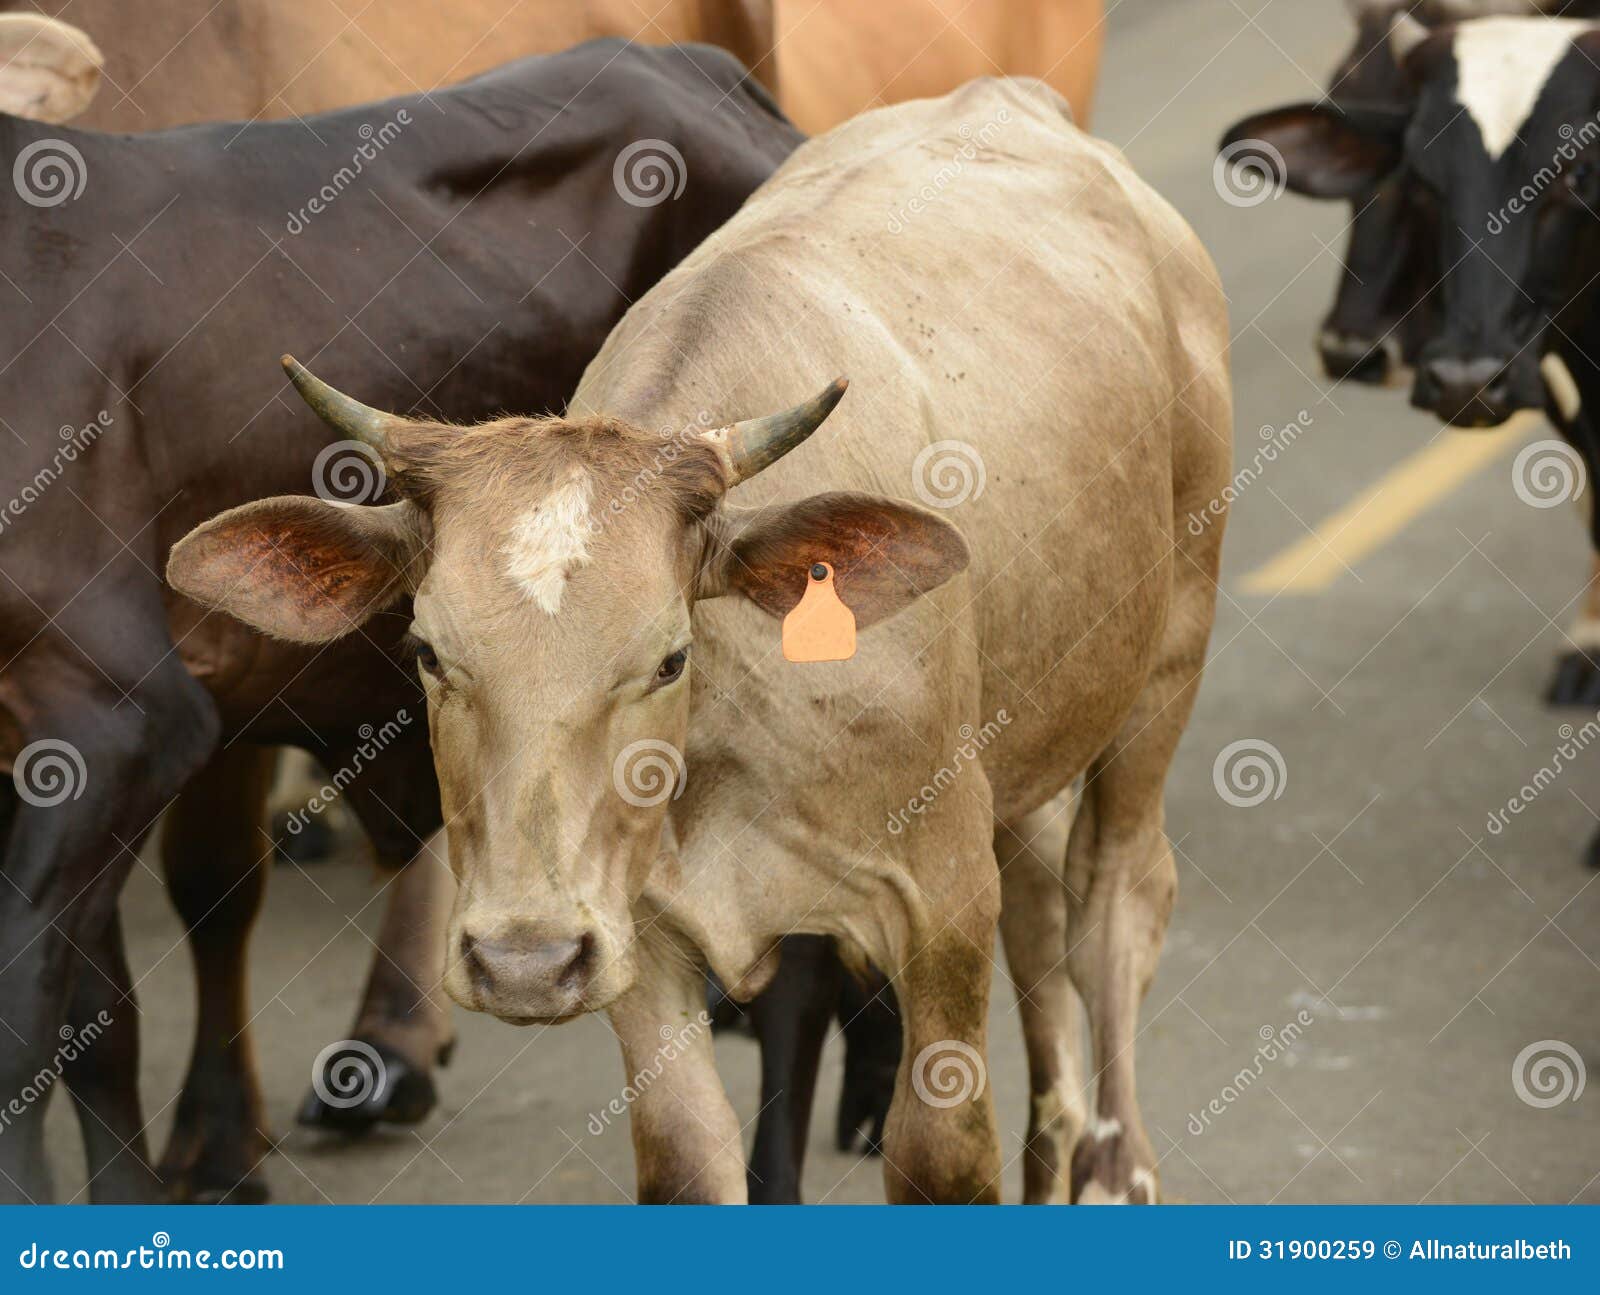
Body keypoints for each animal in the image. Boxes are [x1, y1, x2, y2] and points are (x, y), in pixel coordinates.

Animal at [171, 76, 1232, 1204]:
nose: (522, 961)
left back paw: (1113, 1161)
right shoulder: (632, 930)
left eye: (668, 656)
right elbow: (686, 1158)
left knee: (1113, 899)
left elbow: (940, 1157)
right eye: (426, 652)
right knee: (1041, 913)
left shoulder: (941, 902)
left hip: (1168, 655)